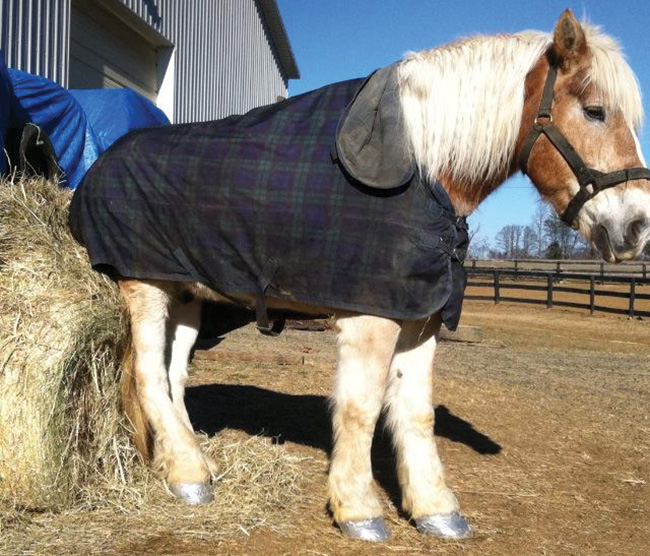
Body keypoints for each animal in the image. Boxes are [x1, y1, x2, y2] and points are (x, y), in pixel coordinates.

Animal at [69, 10, 650, 542]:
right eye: (595, 111)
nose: (636, 227)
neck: (421, 166)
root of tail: (102, 164)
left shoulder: (419, 319)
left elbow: (415, 413)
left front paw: (436, 509)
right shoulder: (371, 318)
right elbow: (361, 410)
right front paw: (359, 510)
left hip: (187, 295)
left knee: (173, 377)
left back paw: (186, 461)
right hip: (145, 287)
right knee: (149, 374)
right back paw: (188, 476)